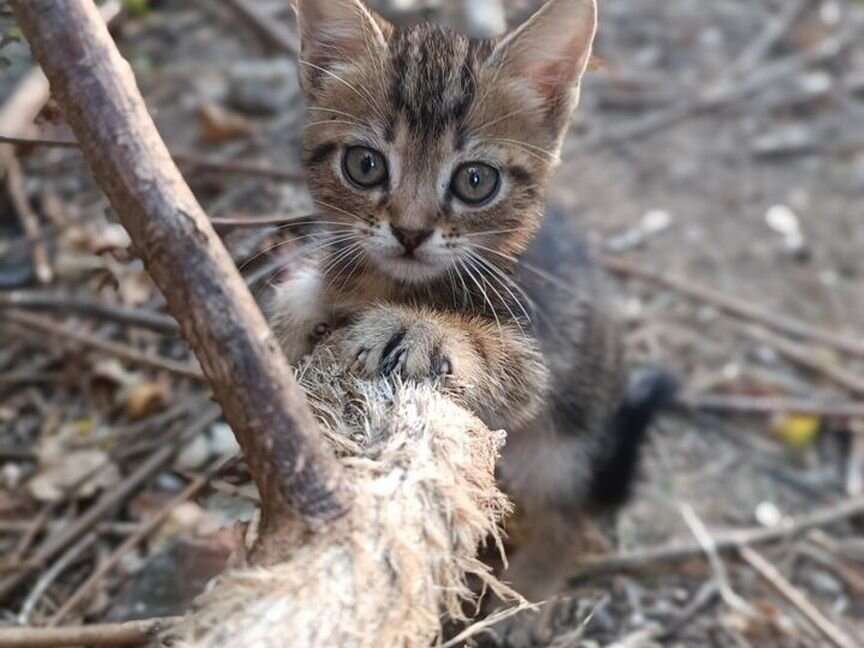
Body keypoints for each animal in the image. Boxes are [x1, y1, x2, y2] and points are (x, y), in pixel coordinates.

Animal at [272, 0, 676, 604]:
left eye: (476, 180)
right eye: (365, 165)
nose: (410, 232)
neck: (398, 285)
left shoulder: (540, 353)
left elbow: (497, 359)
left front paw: (419, 329)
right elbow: (303, 293)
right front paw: (290, 325)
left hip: (566, 443)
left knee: (572, 518)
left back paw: (529, 592)